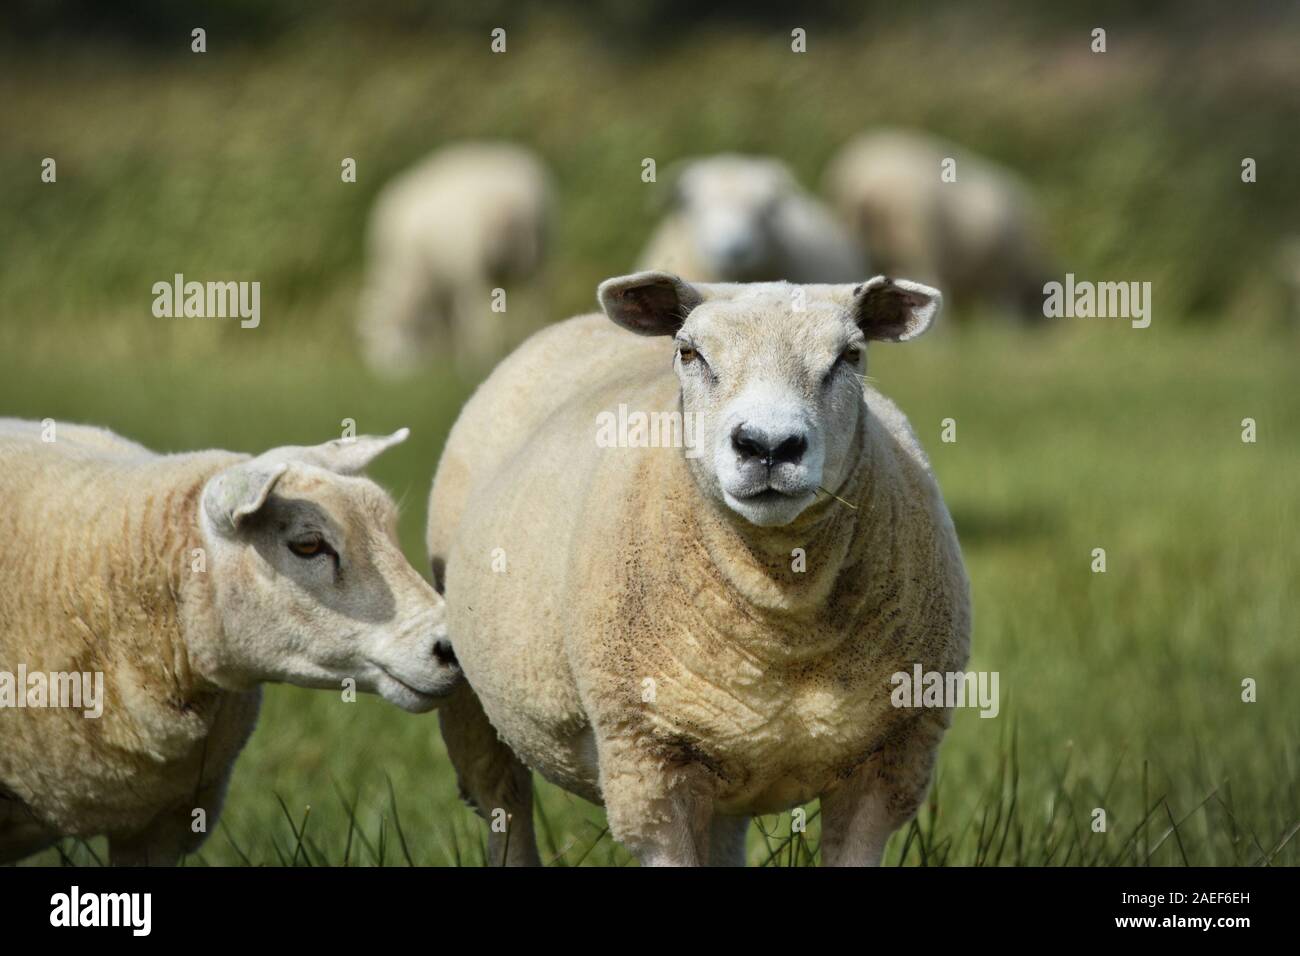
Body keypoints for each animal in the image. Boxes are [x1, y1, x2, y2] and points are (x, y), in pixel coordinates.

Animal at [358, 142, 553, 377]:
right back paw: (533, 332)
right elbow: (449, 321)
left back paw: (481, 359)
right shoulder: (443, 283)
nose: (385, 373)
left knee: (481, 318)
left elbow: (448, 322)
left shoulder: (439, 280)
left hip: (474, 265)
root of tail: (509, 198)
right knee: (535, 301)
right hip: (537, 255)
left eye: (385, 332)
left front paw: (449, 360)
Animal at [426, 270, 971, 866]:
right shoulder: (648, 763)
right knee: (505, 804)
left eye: (849, 355)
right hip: (474, 706)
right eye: (689, 352)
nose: (768, 445)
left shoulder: (892, 759)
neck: (784, 627)